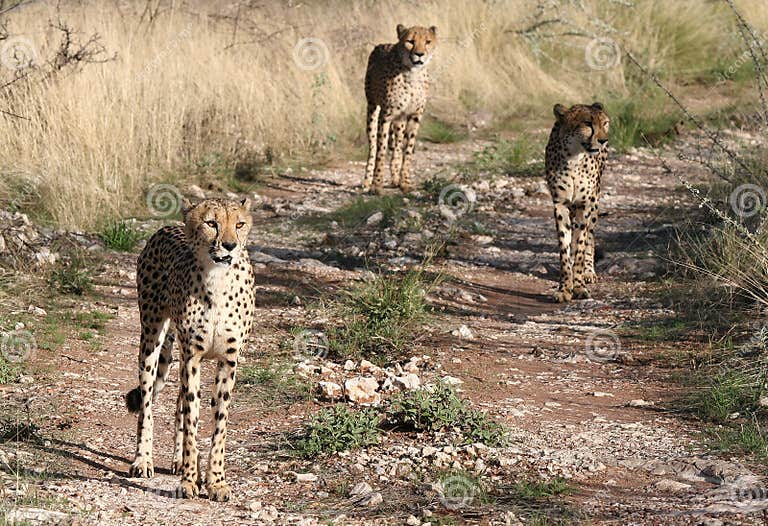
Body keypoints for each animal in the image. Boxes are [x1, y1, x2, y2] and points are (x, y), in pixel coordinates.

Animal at [124, 198, 255, 502]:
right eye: (211, 223)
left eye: (239, 224)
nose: (229, 245)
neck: (218, 280)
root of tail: (168, 226)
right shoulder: (192, 357)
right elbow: (192, 420)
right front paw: (188, 481)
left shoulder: (228, 361)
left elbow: (219, 424)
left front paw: (216, 481)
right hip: (152, 338)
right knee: (148, 402)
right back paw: (143, 460)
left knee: (177, 404)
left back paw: (177, 461)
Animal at [363, 24, 437, 194]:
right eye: (410, 41)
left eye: (428, 42)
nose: (419, 54)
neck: (412, 73)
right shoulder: (386, 115)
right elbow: (381, 150)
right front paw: (376, 185)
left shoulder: (414, 115)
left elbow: (407, 150)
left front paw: (405, 182)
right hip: (372, 108)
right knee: (372, 145)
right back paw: (367, 181)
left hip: (400, 120)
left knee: (397, 145)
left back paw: (395, 178)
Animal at [544, 102, 610, 303]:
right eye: (588, 123)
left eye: (605, 123)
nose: (603, 140)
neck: (574, 157)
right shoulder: (560, 204)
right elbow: (564, 249)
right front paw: (565, 288)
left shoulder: (584, 204)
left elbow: (580, 244)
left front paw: (579, 286)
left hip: (594, 203)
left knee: (590, 237)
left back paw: (588, 272)